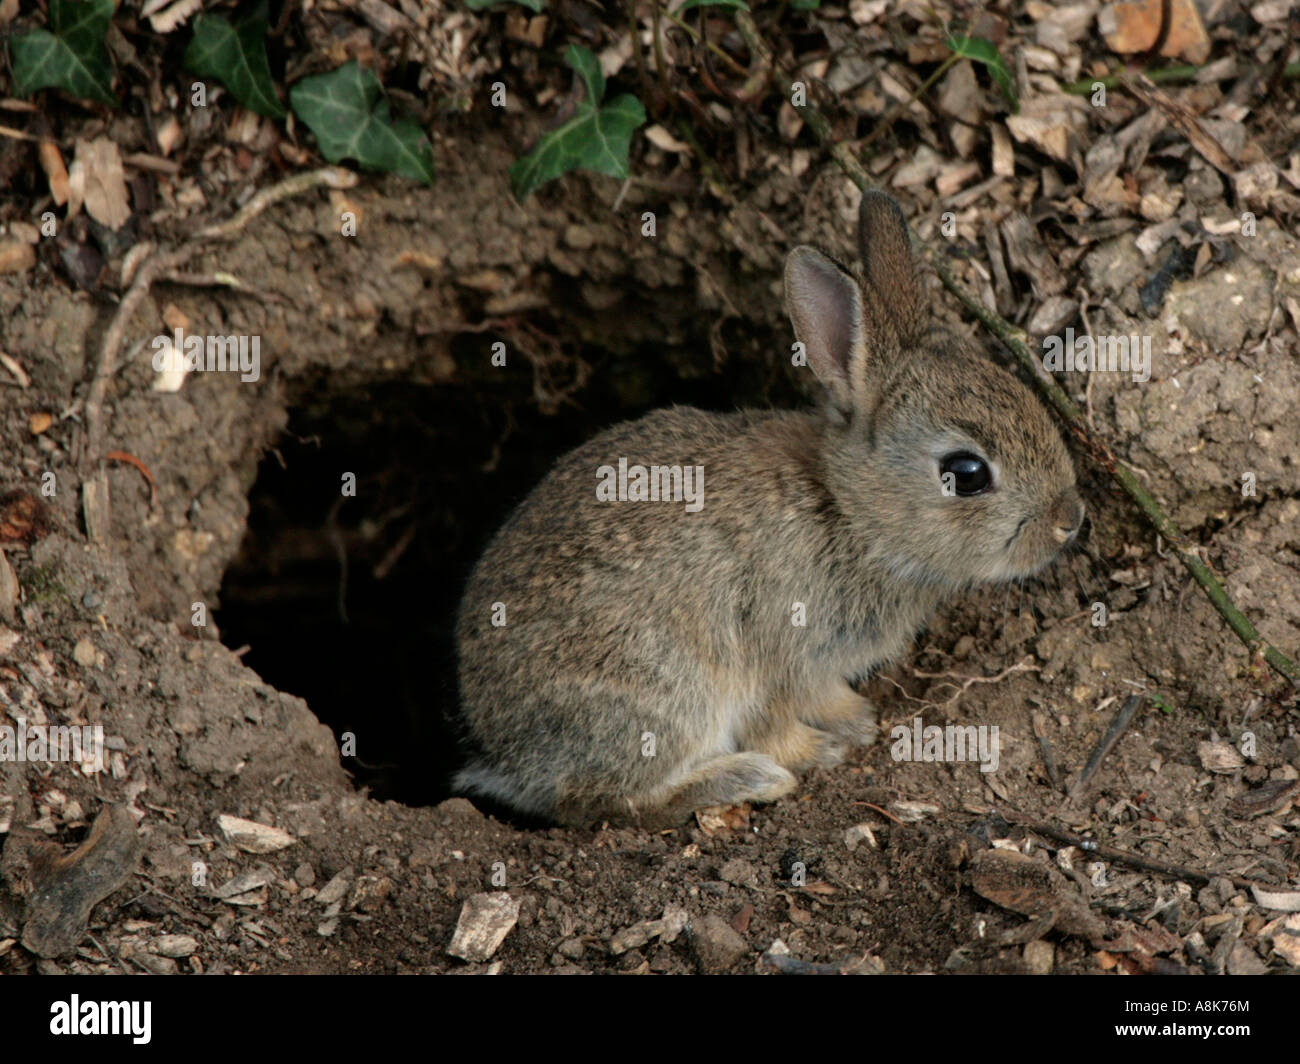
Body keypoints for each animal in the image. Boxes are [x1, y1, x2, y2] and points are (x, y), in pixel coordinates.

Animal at [453, 190, 1085, 829]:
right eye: (967, 473)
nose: (1070, 519)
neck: (847, 510)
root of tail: (509, 758)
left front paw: (856, 717)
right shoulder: (778, 655)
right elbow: (774, 721)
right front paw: (825, 748)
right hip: (665, 693)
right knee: (606, 801)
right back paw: (745, 779)